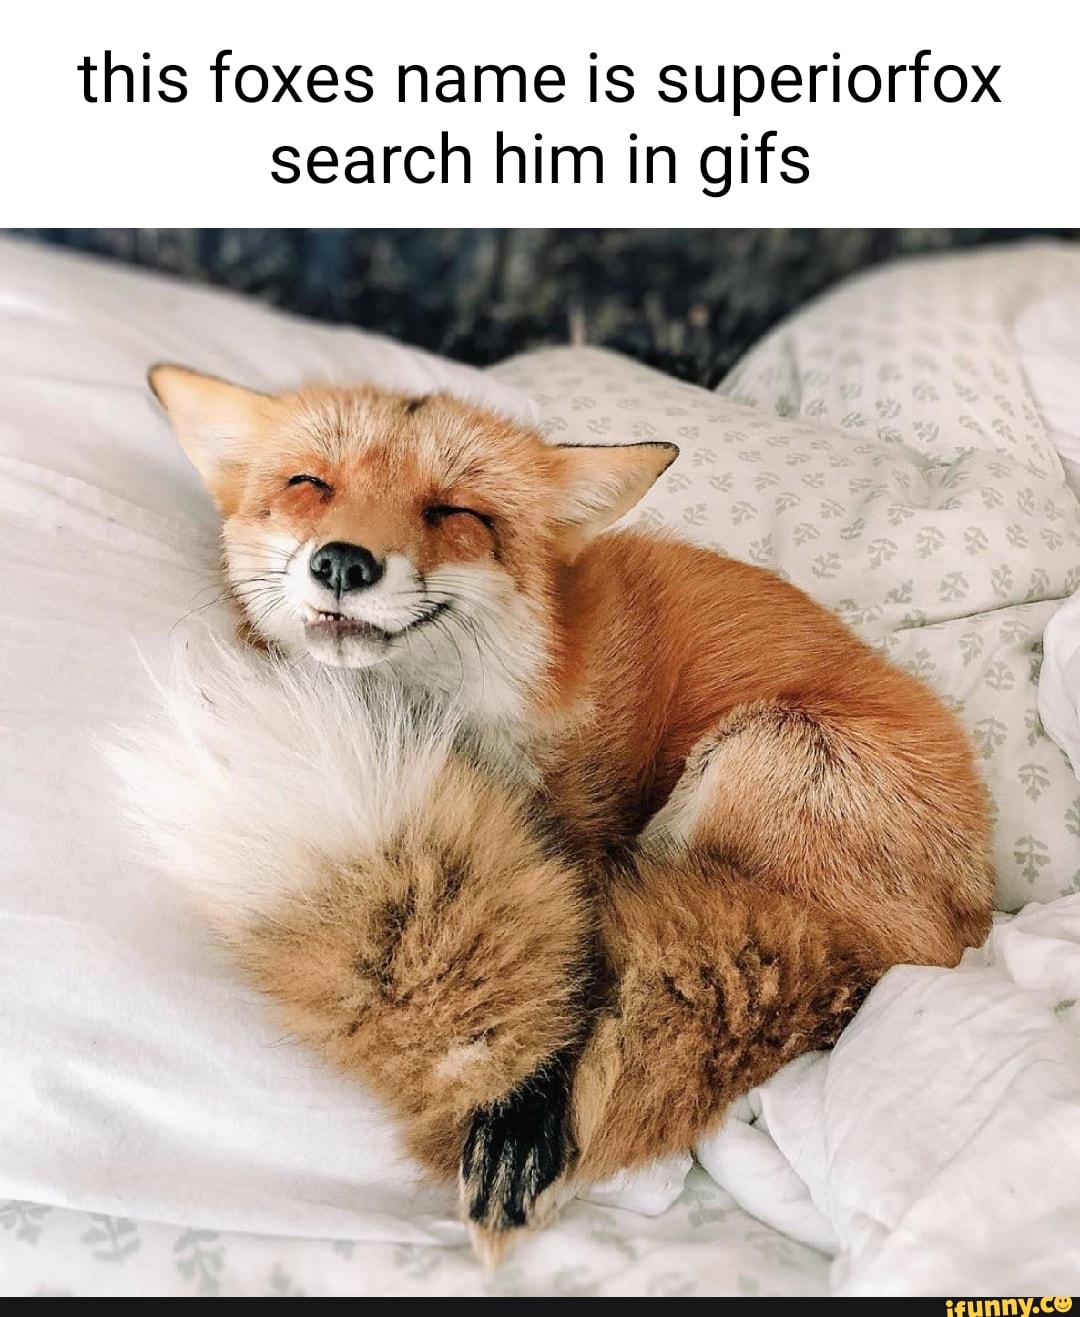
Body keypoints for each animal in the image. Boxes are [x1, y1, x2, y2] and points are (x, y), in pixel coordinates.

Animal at [124, 365, 995, 1262]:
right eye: (309, 485)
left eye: (457, 512)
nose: (342, 562)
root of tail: (957, 932)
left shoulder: (582, 831)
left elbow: (586, 965)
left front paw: (521, 1113)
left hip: (753, 755)